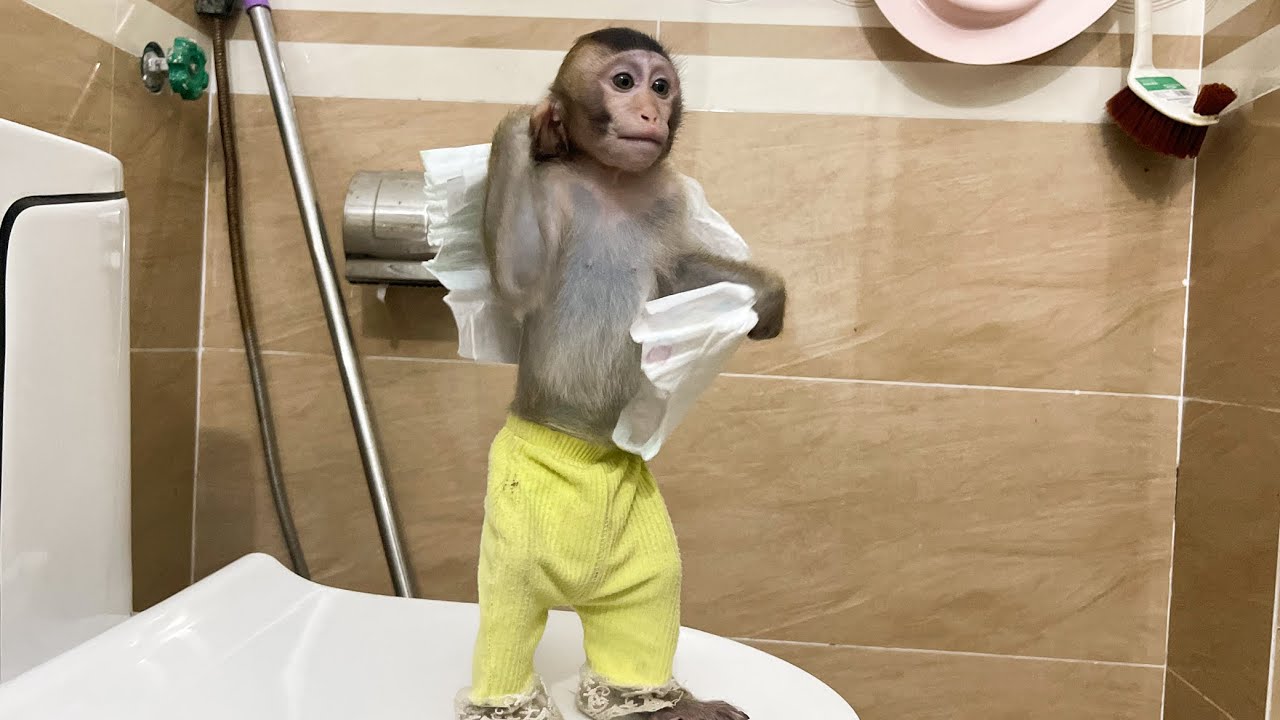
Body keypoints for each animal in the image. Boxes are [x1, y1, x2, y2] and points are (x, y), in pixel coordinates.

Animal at [458, 27, 784, 720]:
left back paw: (653, 700)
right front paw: (523, 127)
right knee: (508, 614)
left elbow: (680, 270)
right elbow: (519, 284)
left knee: (649, 597)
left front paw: (766, 300)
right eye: (624, 82)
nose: (650, 114)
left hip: (638, 538)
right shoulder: (553, 191)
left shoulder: (668, 196)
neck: (610, 179)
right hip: (517, 522)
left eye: (660, 86)